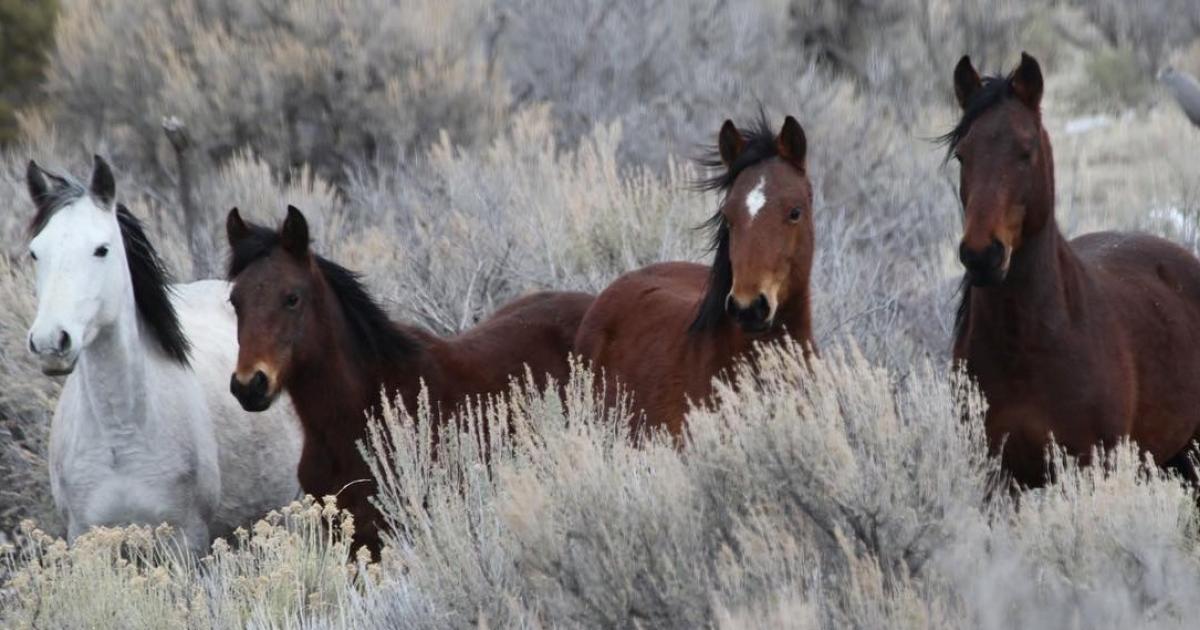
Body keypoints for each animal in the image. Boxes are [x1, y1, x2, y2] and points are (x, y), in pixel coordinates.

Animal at [23, 156, 302, 554]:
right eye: (35, 252)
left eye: (101, 249)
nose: (50, 341)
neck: (121, 436)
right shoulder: (85, 538)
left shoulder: (186, 540)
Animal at [947, 53, 1200, 486]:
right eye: (963, 154)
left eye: (1026, 151)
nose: (982, 256)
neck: (1024, 343)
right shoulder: (995, 477)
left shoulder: (1089, 467)